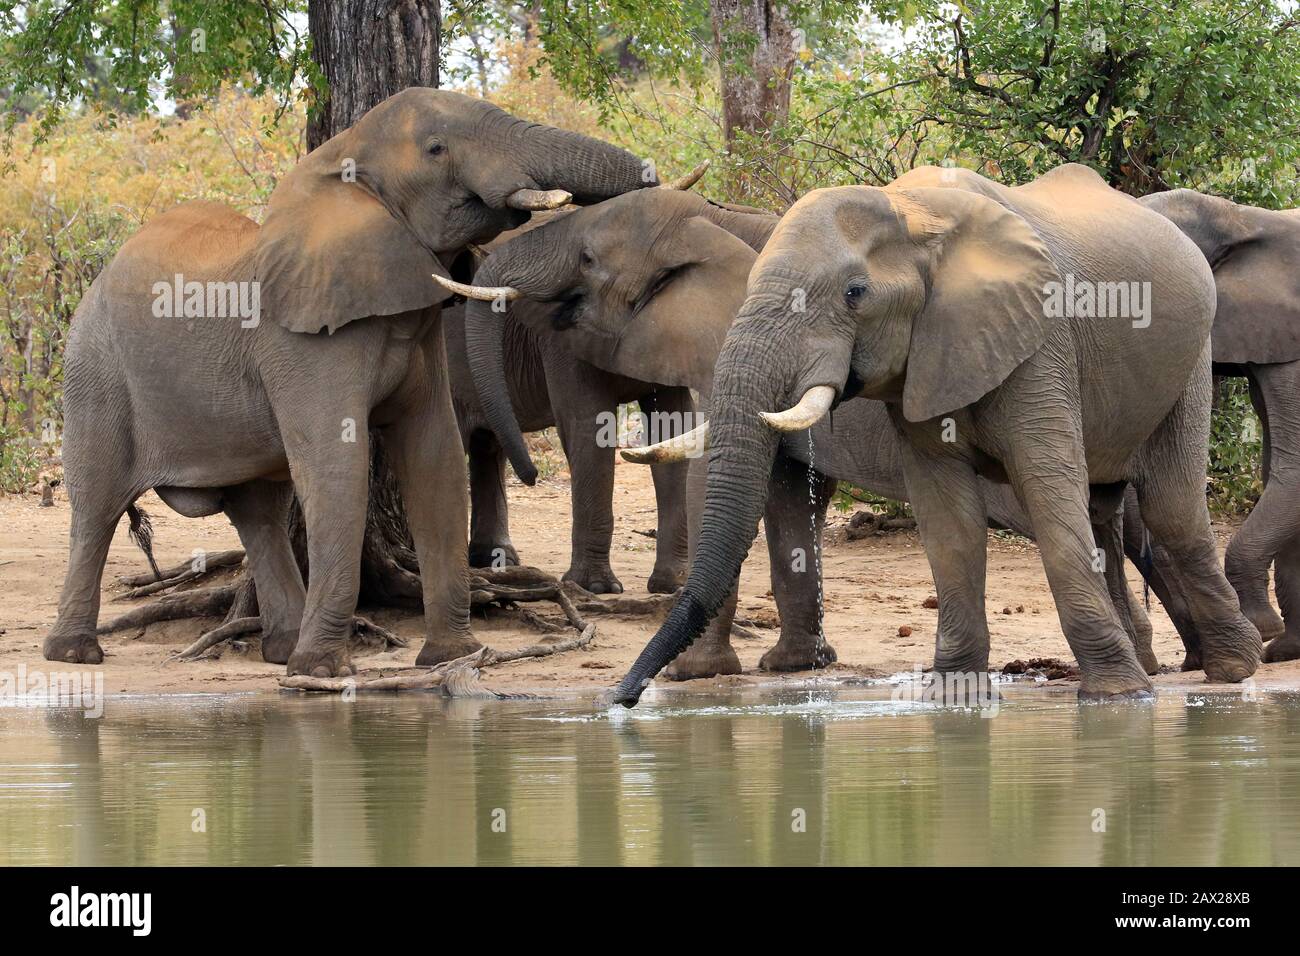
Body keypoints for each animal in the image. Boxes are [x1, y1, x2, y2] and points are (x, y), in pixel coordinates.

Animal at [44, 87, 662, 678]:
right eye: (436, 148)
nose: (655, 176)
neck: (340, 157)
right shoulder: (303, 344)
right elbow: (337, 465)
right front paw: (322, 671)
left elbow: (434, 456)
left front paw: (453, 657)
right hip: (94, 374)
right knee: (96, 508)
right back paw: (75, 654)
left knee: (258, 513)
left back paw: (280, 649)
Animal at [439, 184, 1164, 680]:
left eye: (587, 258)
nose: (628, 694)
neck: (707, 218)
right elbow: (787, 499)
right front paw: (794, 666)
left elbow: (715, 482)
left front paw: (696, 674)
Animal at [605, 163, 1263, 705]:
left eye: (855, 294)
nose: (622, 698)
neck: (912, 214)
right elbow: (948, 523)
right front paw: (955, 697)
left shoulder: (1039, 340)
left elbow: (1047, 490)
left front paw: (1116, 699)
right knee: (1106, 513)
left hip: (1192, 358)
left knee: (1171, 507)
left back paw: (1234, 670)